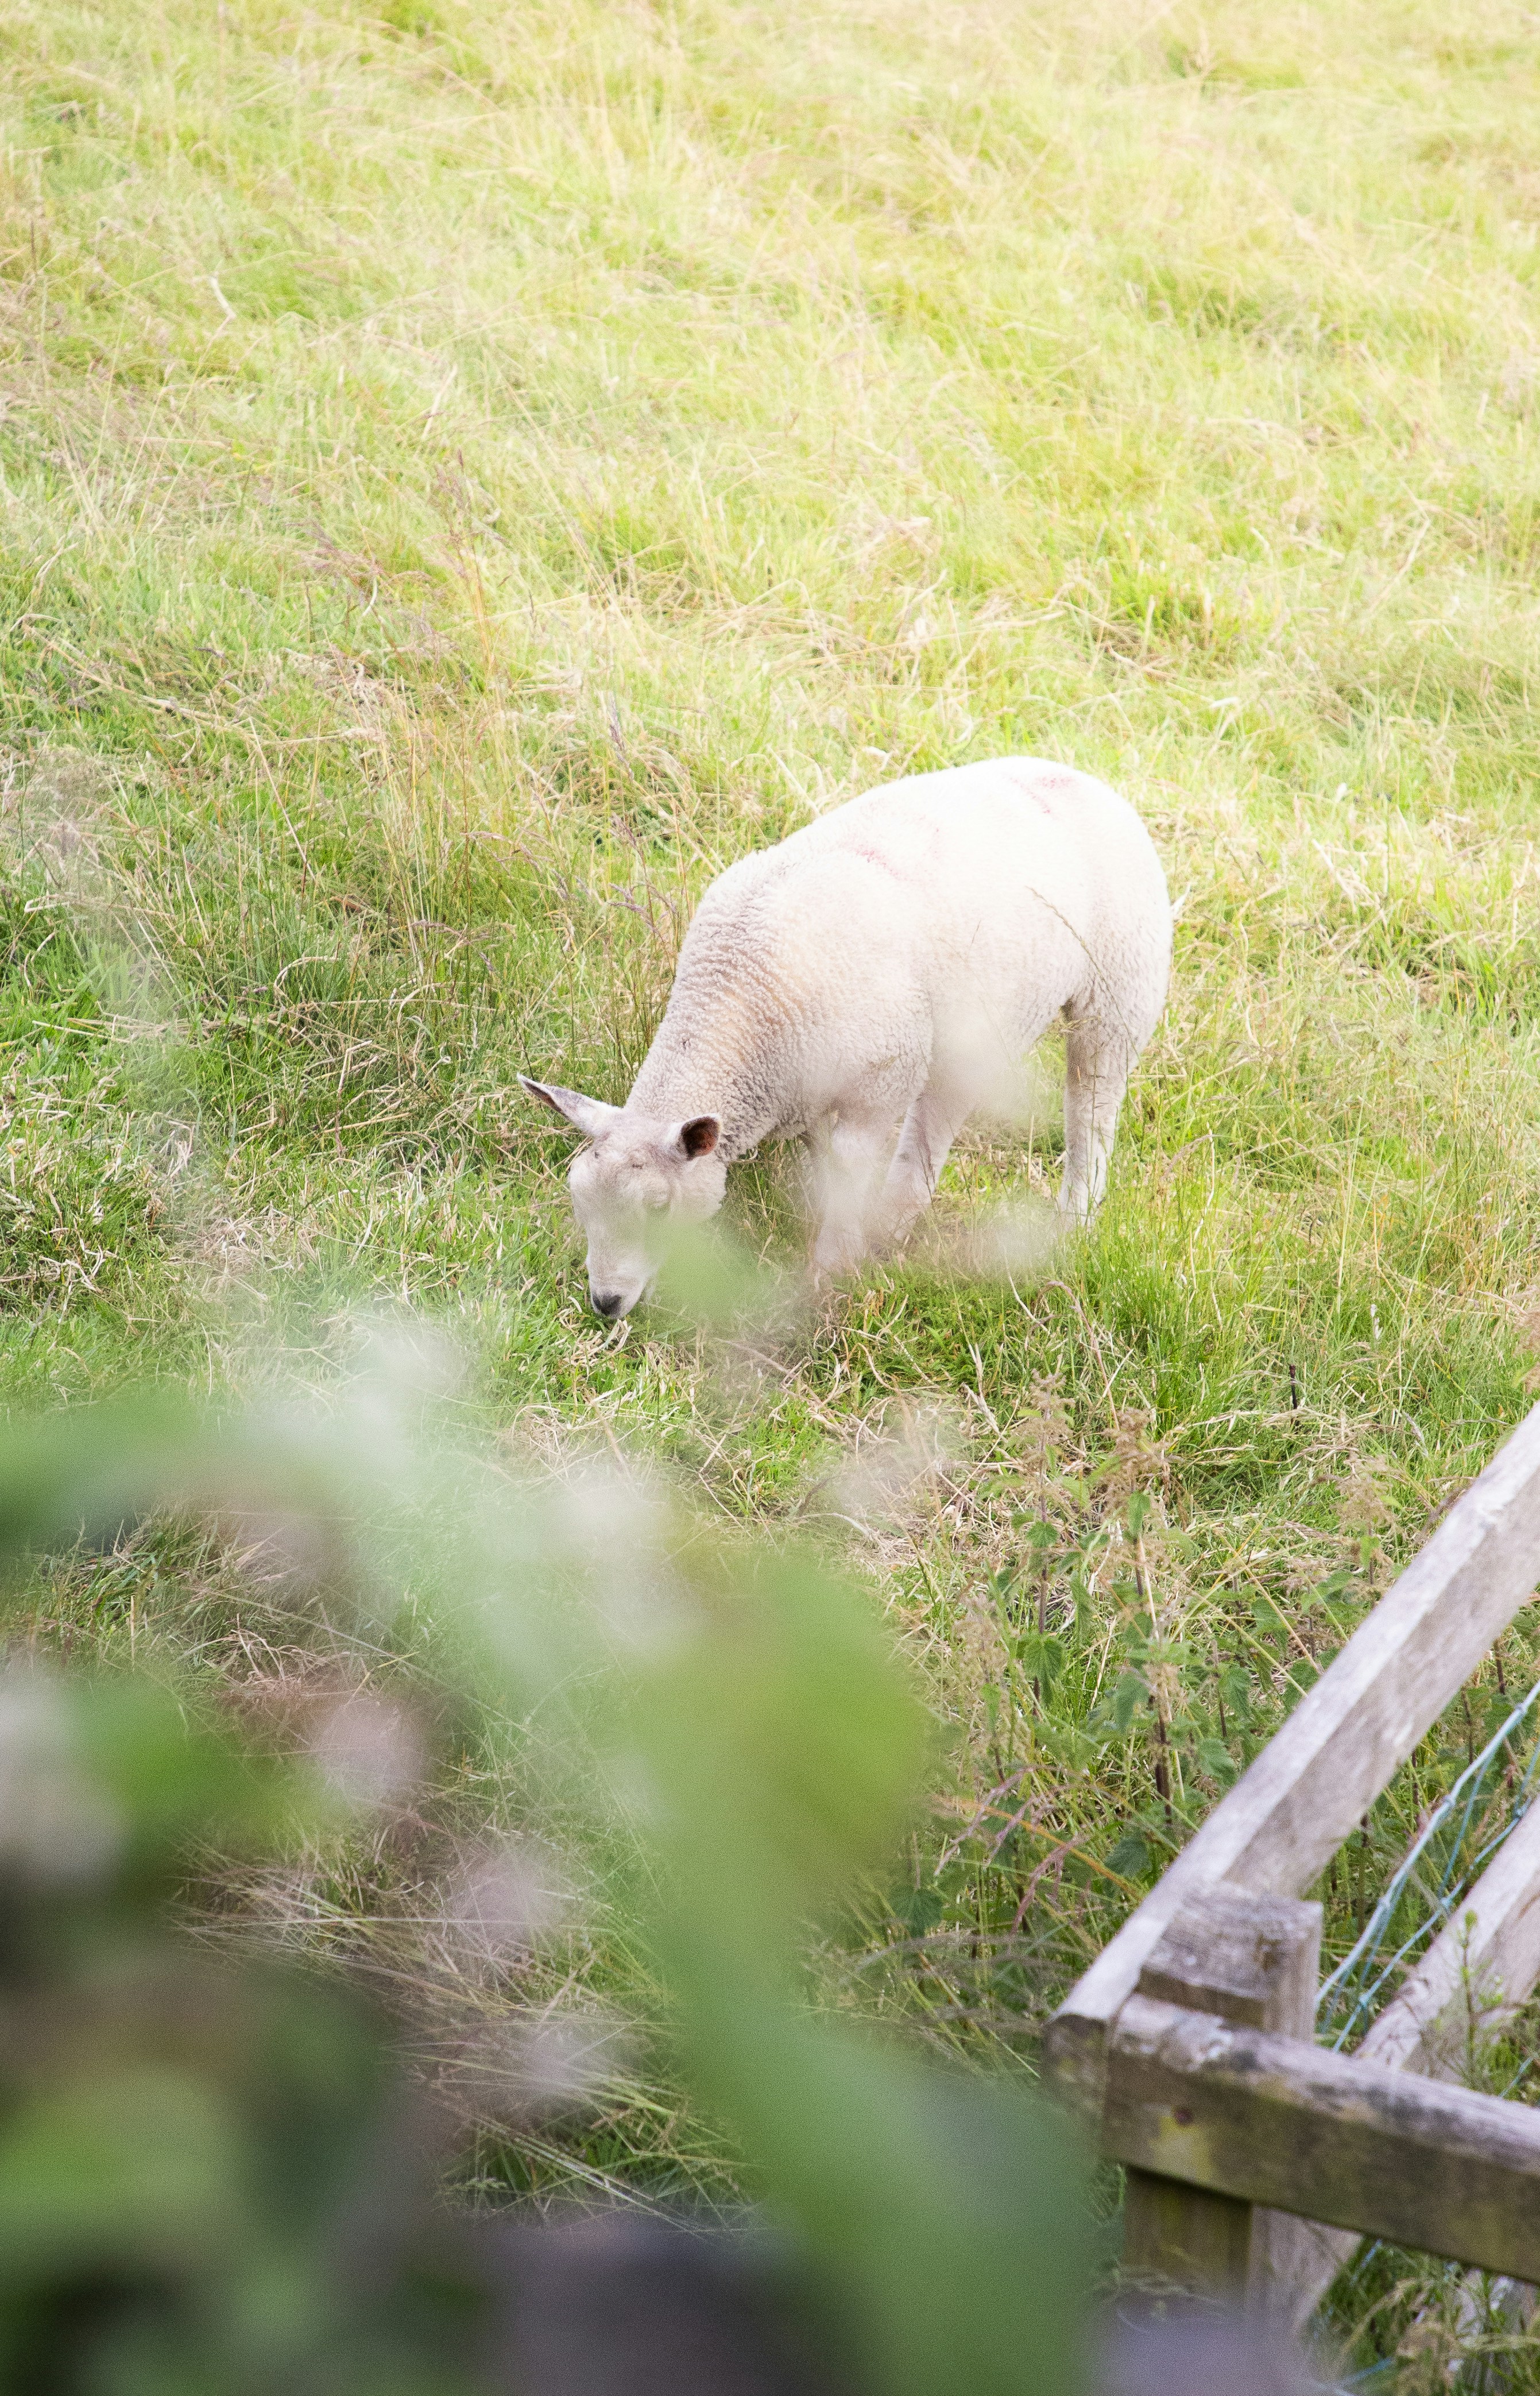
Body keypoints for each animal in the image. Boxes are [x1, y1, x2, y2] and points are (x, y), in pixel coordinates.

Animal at [521, 755, 1172, 1320]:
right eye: (579, 1199)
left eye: (659, 1209)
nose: (606, 1303)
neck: (737, 1002)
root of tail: (1082, 777)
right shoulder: (811, 1087)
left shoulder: (878, 1080)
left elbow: (848, 1169)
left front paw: (830, 1272)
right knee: (938, 1120)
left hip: (1119, 993)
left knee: (1090, 1108)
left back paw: (1074, 1218)